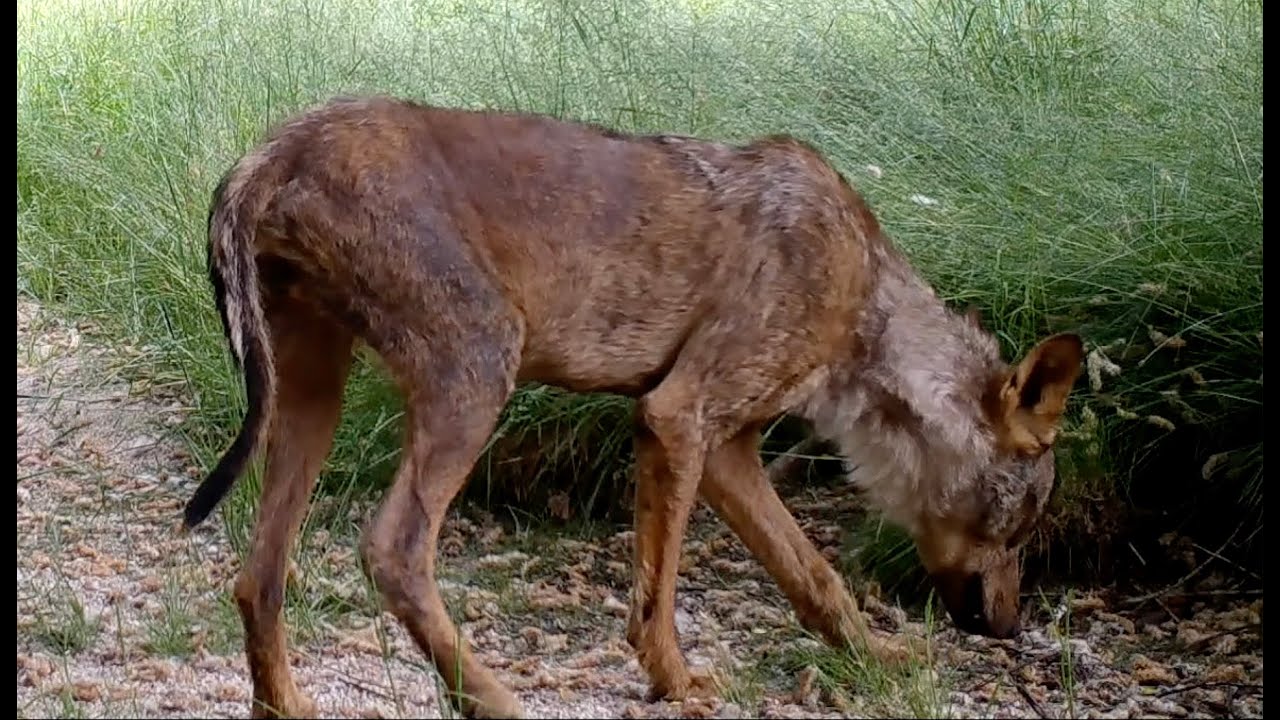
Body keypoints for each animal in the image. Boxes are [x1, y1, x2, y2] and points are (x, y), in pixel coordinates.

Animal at [181, 95, 1084, 718]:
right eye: (1022, 527)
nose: (1007, 630)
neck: (863, 296)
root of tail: (273, 150)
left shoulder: (728, 451)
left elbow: (813, 576)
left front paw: (876, 659)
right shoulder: (677, 417)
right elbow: (659, 595)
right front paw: (675, 682)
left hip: (313, 396)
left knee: (257, 577)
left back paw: (287, 706)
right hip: (477, 372)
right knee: (391, 551)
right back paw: (493, 700)